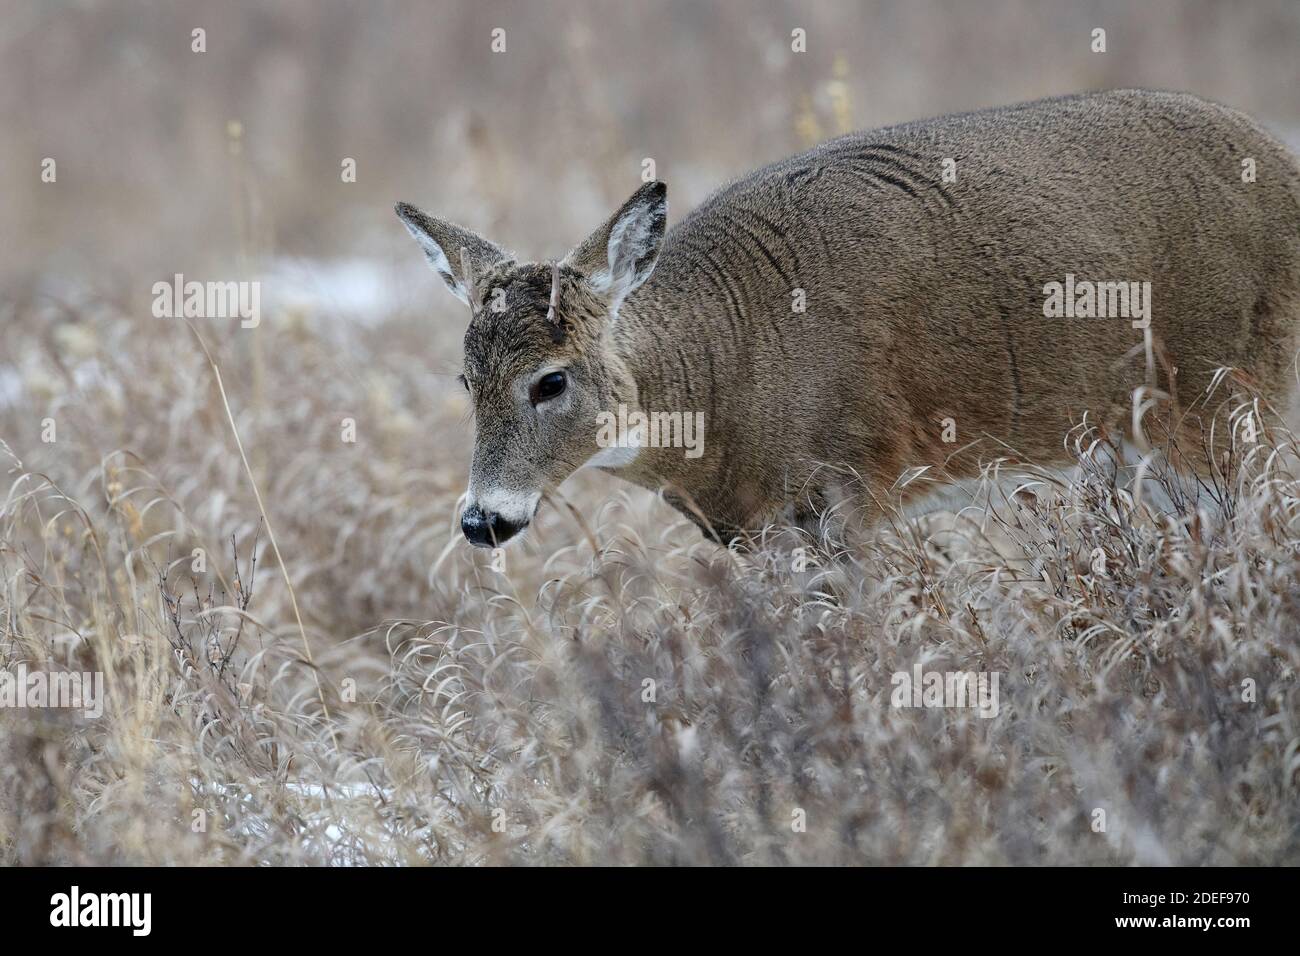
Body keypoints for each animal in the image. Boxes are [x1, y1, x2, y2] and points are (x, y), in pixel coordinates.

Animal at [396, 89, 1300, 549]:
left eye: (550, 381)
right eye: (466, 381)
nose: (482, 520)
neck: (730, 372)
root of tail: (1283, 160)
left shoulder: (855, 481)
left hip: (1234, 396)